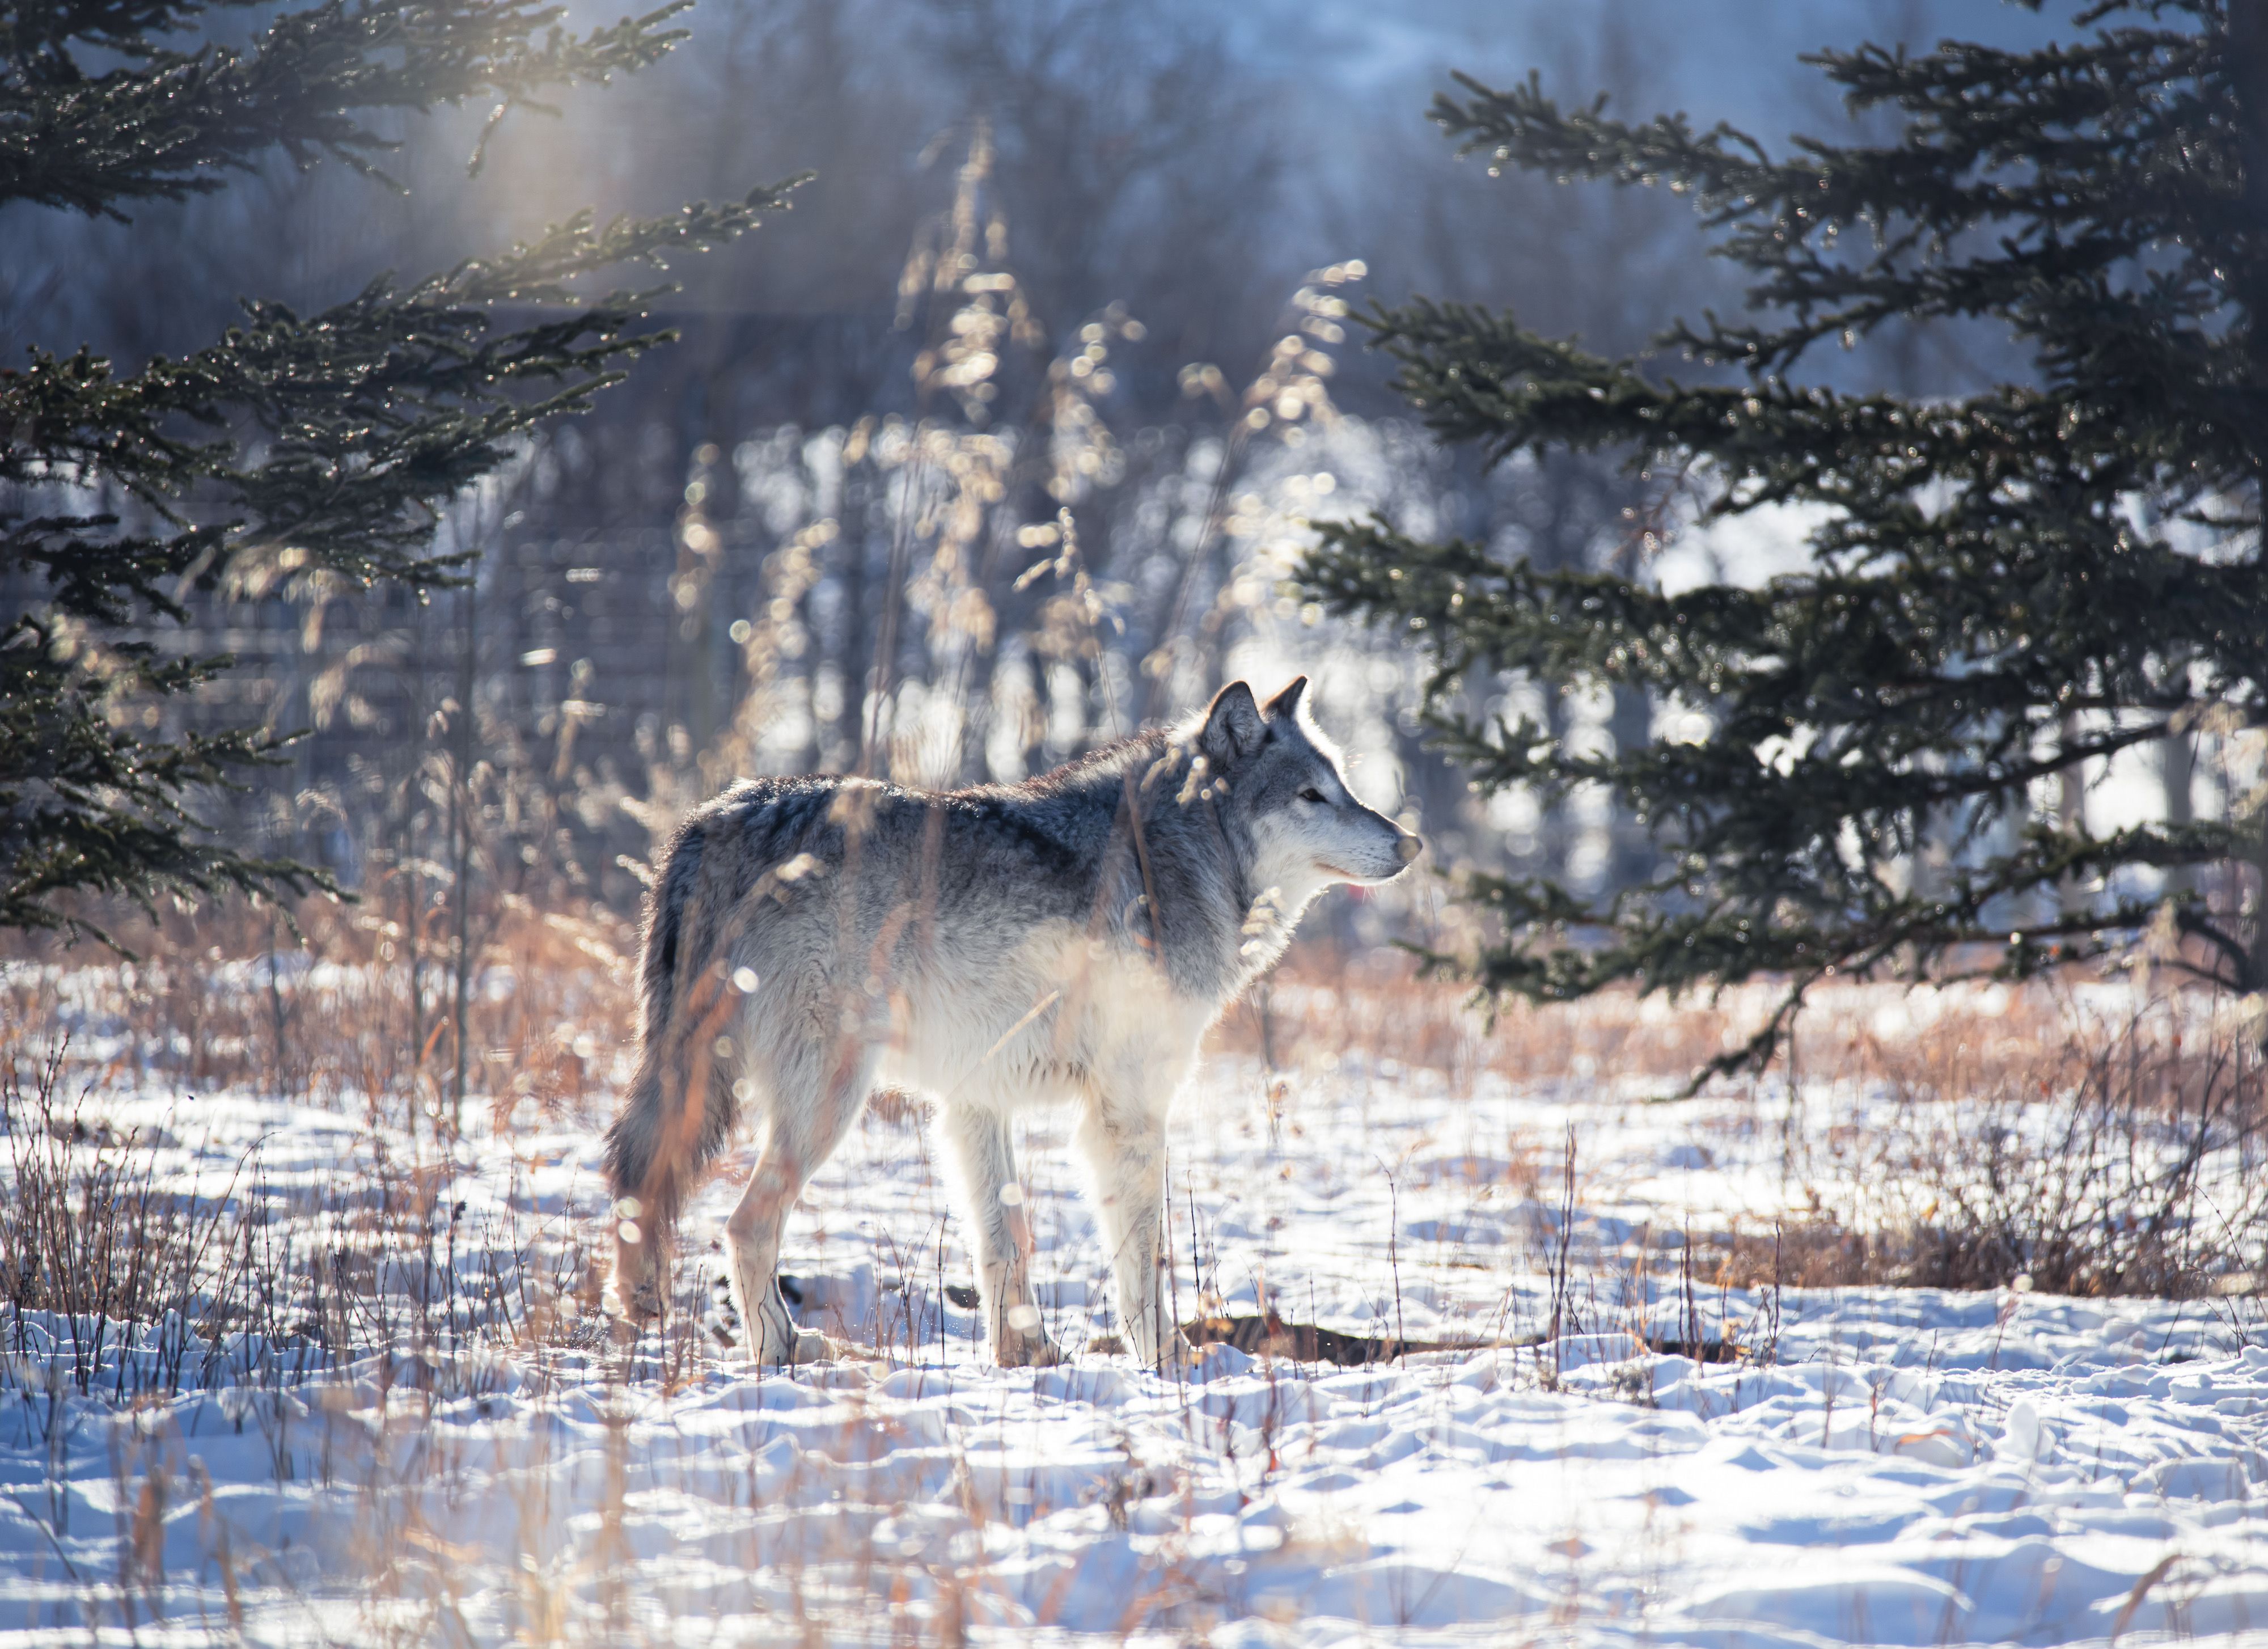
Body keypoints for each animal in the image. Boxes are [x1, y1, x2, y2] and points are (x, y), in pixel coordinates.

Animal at [601, 675, 1421, 1367]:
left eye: (1343, 786)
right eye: (1312, 795)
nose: (1410, 842)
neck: (1184, 856)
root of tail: (718, 819)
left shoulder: (976, 1102)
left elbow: (1005, 1247)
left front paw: (1026, 1360)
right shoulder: (1128, 1112)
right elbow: (1141, 1260)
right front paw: (1173, 1362)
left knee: (641, 1190)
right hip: (827, 1102)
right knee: (744, 1225)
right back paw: (784, 1351)